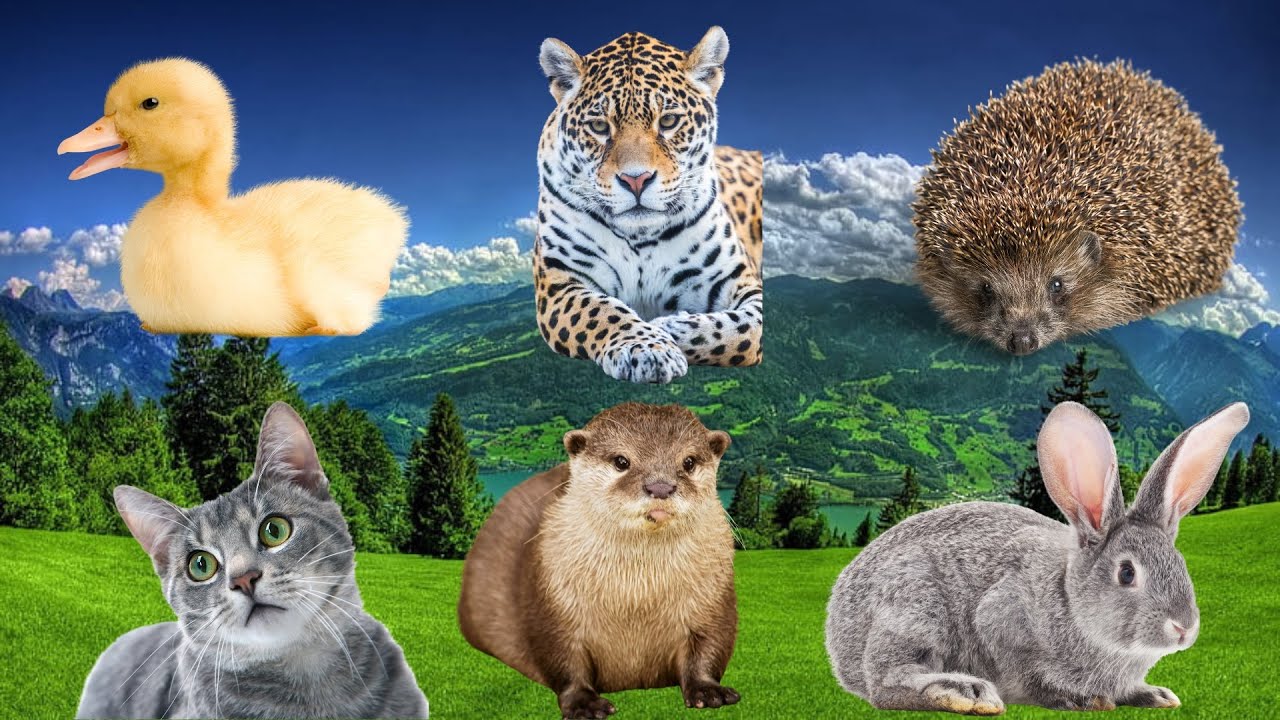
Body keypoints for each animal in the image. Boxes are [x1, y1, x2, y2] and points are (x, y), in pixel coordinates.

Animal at [534, 26, 764, 384]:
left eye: (668, 121)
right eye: (599, 126)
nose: (636, 180)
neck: (641, 235)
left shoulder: (737, 278)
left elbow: (747, 329)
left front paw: (672, 327)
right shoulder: (560, 282)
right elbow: (602, 311)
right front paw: (646, 349)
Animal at [825, 400, 1250, 714]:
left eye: (1181, 564)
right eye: (1127, 573)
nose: (1183, 628)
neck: (1071, 601)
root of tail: (836, 626)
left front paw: (1154, 695)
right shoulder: (1001, 620)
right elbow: (1030, 677)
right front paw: (1081, 700)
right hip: (915, 606)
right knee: (885, 683)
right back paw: (968, 694)